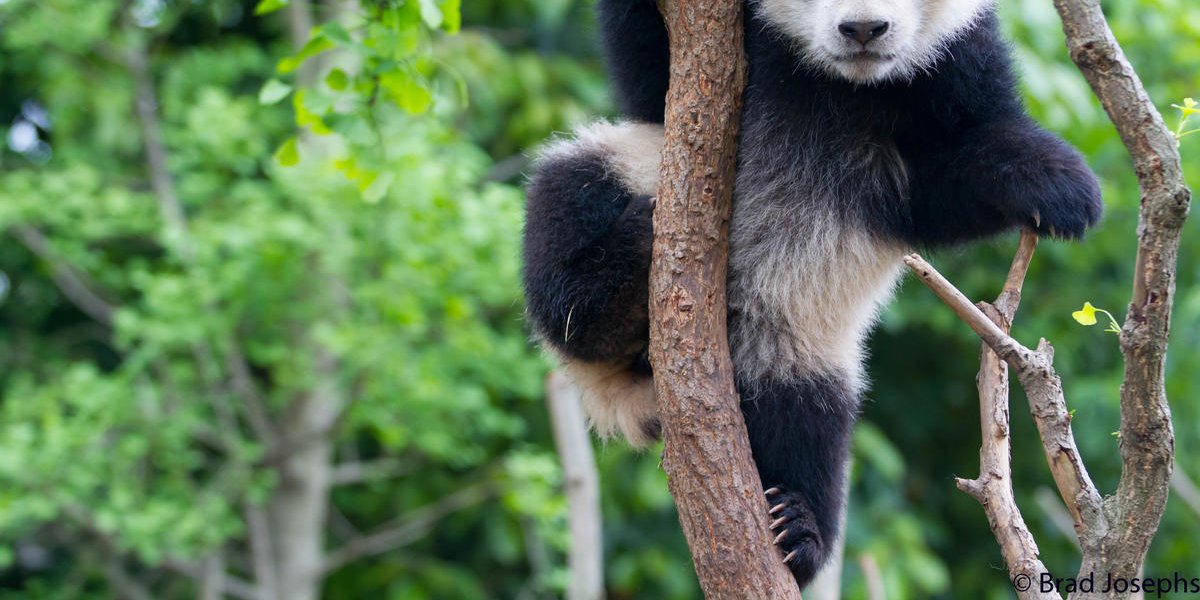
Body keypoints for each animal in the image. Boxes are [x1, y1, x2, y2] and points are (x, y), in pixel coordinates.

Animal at [522, 0, 1102, 587]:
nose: (863, 30)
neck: (844, 85)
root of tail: (630, 380)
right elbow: (648, 77)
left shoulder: (951, 65)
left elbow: (953, 174)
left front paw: (1062, 187)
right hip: (624, 167)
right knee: (565, 207)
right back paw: (614, 284)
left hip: (795, 348)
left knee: (806, 422)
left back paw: (798, 531)